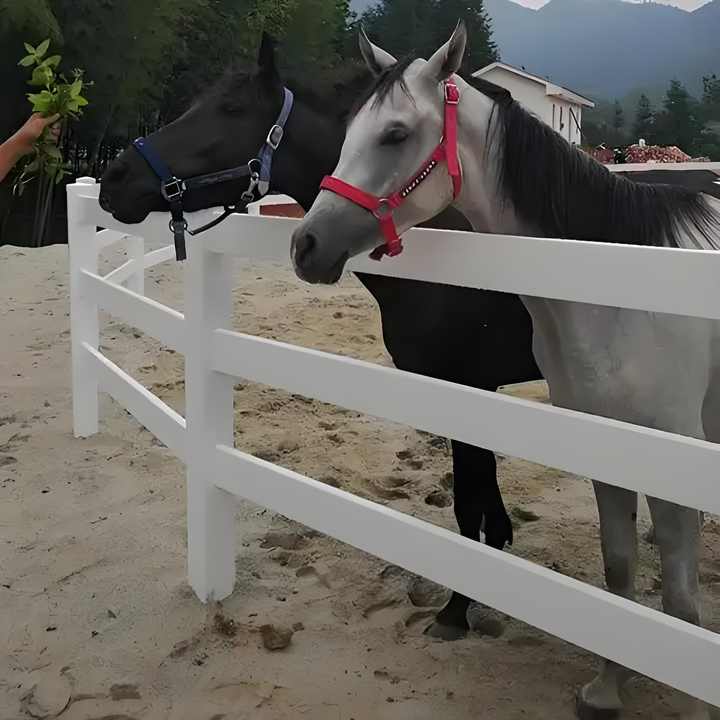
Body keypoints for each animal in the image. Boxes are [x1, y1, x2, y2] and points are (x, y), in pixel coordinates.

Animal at [98, 33, 540, 642]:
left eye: (230, 108)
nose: (112, 179)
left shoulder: (465, 390)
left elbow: (468, 503)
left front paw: (455, 611)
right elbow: (485, 505)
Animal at [290, 23, 720, 720]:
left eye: (395, 134)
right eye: (349, 129)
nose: (305, 246)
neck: (622, 288)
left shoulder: (670, 450)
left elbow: (682, 605)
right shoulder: (607, 449)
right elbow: (618, 568)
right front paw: (607, 687)